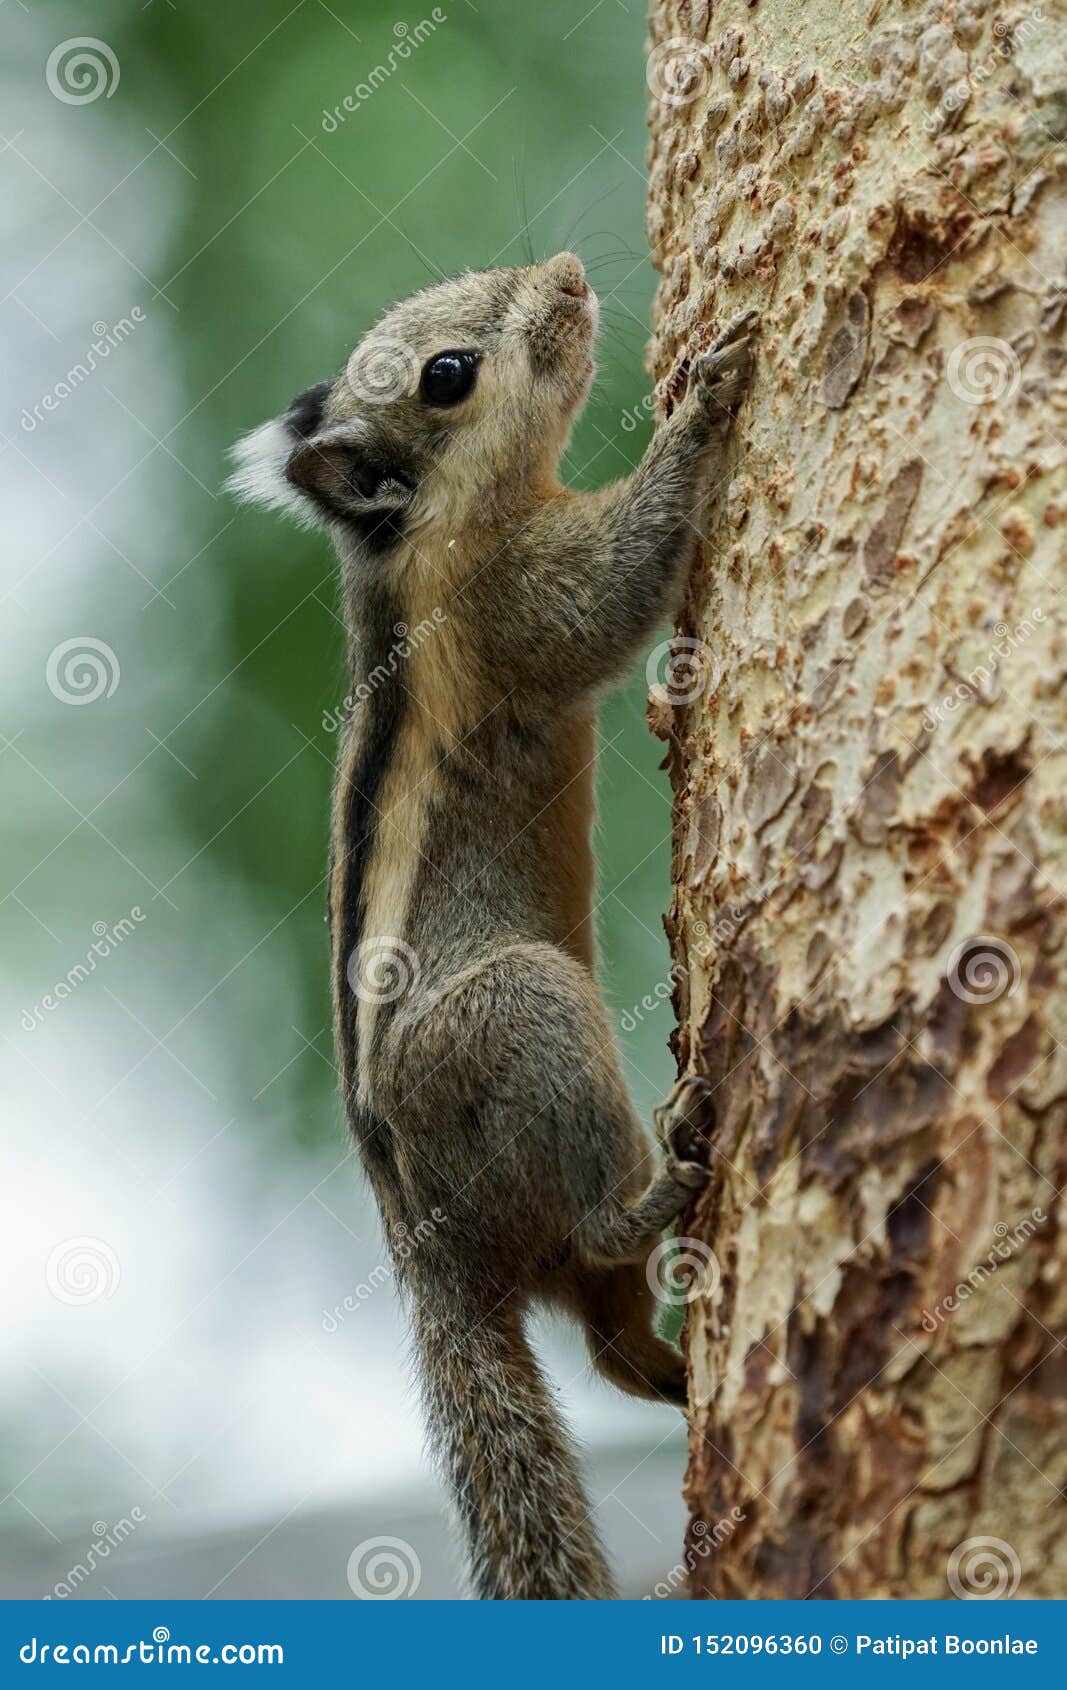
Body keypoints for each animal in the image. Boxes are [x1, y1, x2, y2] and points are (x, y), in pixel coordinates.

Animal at [229, 252, 755, 1600]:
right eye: (447, 374)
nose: (565, 275)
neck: (414, 543)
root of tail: (426, 1250)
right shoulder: (522, 597)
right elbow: (618, 582)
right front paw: (703, 403)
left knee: (609, 1343)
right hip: (521, 1017)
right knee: (592, 1242)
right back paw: (661, 1176)